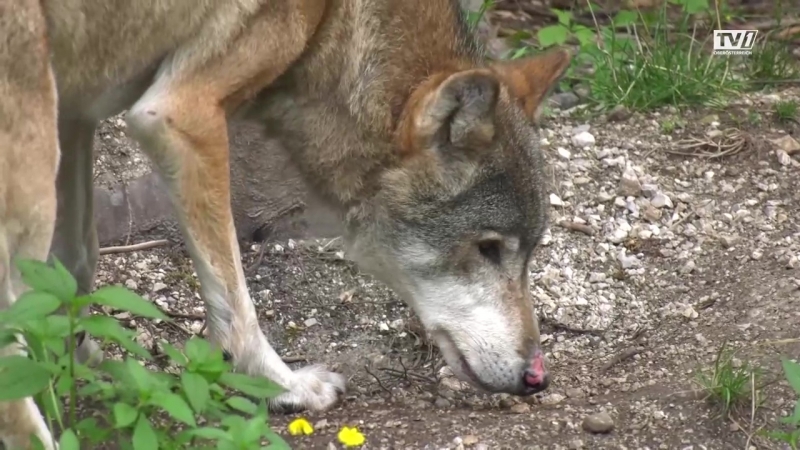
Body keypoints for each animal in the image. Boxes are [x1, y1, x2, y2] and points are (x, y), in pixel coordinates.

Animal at [0, 0, 572, 447]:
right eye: (489, 248)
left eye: (529, 253)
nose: (537, 377)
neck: (338, 19)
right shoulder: (180, 116)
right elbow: (236, 302)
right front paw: (281, 386)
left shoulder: (77, 111)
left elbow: (76, 263)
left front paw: (76, 359)